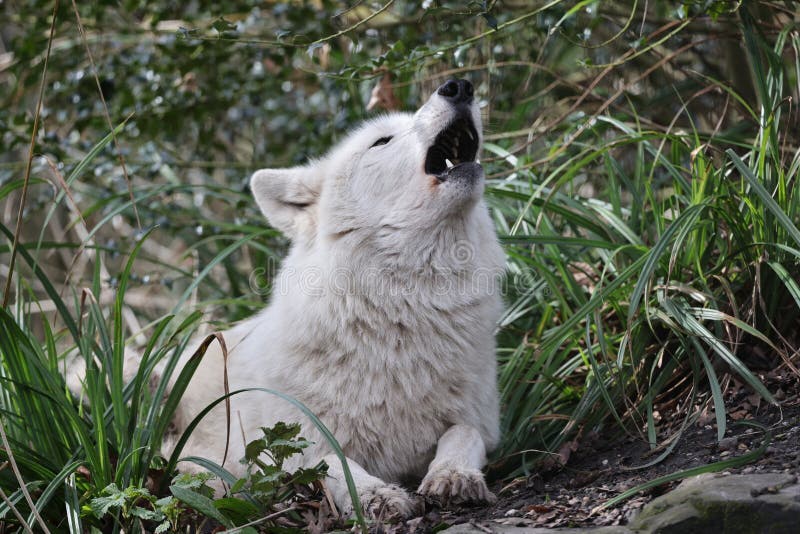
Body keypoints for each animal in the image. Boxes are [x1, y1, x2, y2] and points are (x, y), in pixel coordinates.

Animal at [169, 79, 506, 519]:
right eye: (382, 141)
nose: (459, 86)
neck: (403, 315)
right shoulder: (292, 442)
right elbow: (331, 461)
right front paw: (376, 496)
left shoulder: (480, 421)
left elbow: (463, 434)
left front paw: (454, 475)